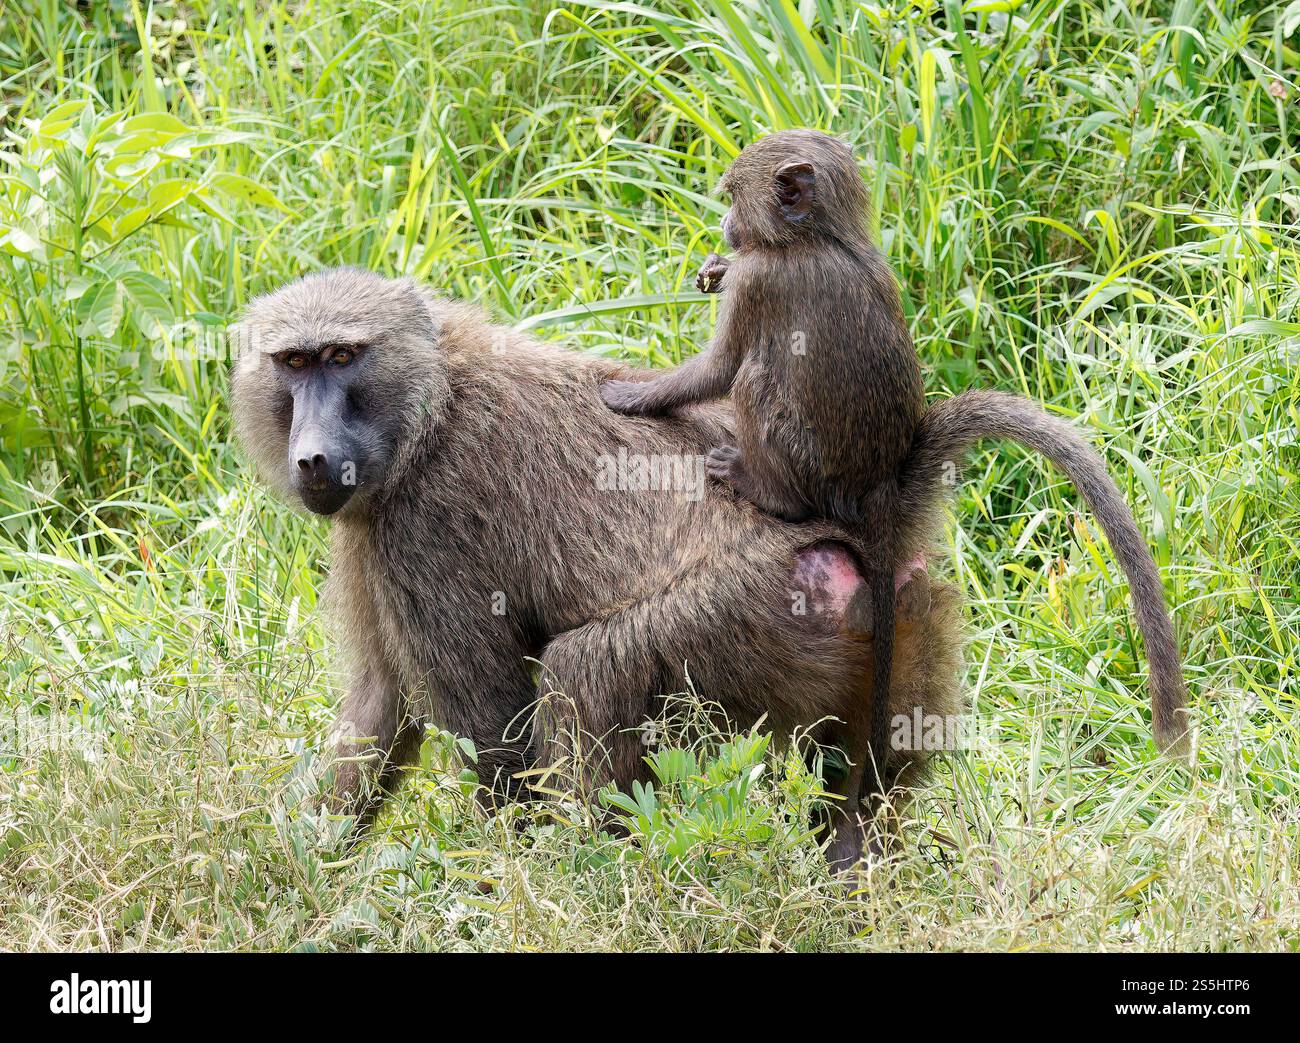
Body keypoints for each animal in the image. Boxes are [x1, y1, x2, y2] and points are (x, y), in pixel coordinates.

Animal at [230, 267, 963, 871]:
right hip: (904, 638)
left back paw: (595, 875)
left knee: (586, 668)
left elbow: (495, 738)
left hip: (757, 612)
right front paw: (302, 871)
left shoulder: (425, 524)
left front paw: (514, 882)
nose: (314, 458)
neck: (432, 399)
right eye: (293, 363)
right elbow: (379, 706)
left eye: (343, 357)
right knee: (864, 793)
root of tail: (872, 533)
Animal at [601, 130, 1188, 820]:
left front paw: (633, 396)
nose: (723, 226)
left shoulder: (762, 282)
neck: (820, 237)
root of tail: (875, 490)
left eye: (731, 198)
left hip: (805, 466)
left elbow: (717, 368)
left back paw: (763, 487)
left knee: (756, 379)